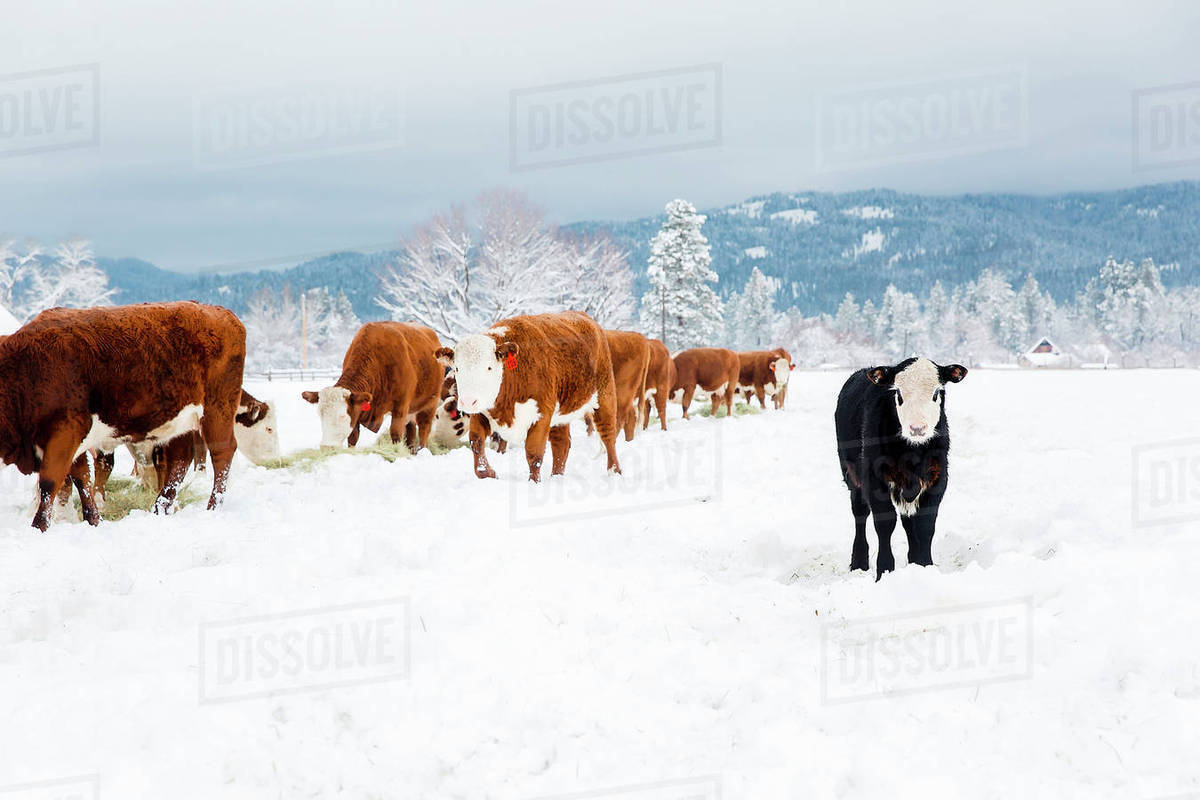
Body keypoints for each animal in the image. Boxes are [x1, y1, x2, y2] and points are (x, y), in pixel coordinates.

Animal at [0, 302, 246, 530]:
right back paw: (159, 508)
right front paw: (94, 519)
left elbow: (50, 482)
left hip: (218, 410)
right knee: (181, 458)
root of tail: (219, 311)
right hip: (178, 422)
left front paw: (38, 527)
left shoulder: (64, 432)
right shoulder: (71, 438)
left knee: (222, 452)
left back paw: (213, 507)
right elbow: (82, 478)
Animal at [302, 322, 442, 452]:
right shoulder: (357, 408)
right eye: (320, 414)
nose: (326, 447)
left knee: (424, 429)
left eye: (342, 416)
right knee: (411, 432)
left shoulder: (401, 406)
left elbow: (396, 434)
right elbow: (353, 436)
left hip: (430, 404)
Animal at [435, 311, 621, 482]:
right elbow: (476, 441)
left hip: (605, 396)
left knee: (608, 435)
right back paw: (556, 477)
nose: (468, 402)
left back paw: (614, 472)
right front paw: (488, 473)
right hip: (561, 414)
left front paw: (534, 482)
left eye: (489, 367)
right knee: (561, 443)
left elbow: (534, 452)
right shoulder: (482, 412)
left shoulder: (542, 414)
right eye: (457, 368)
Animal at [834, 357, 967, 580]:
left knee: (908, 520)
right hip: (851, 474)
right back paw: (859, 562)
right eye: (898, 393)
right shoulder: (874, 479)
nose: (917, 428)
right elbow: (885, 523)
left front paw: (924, 566)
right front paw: (884, 570)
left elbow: (924, 524)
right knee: (860, 513)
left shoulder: (938, 478)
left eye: (936, 393)